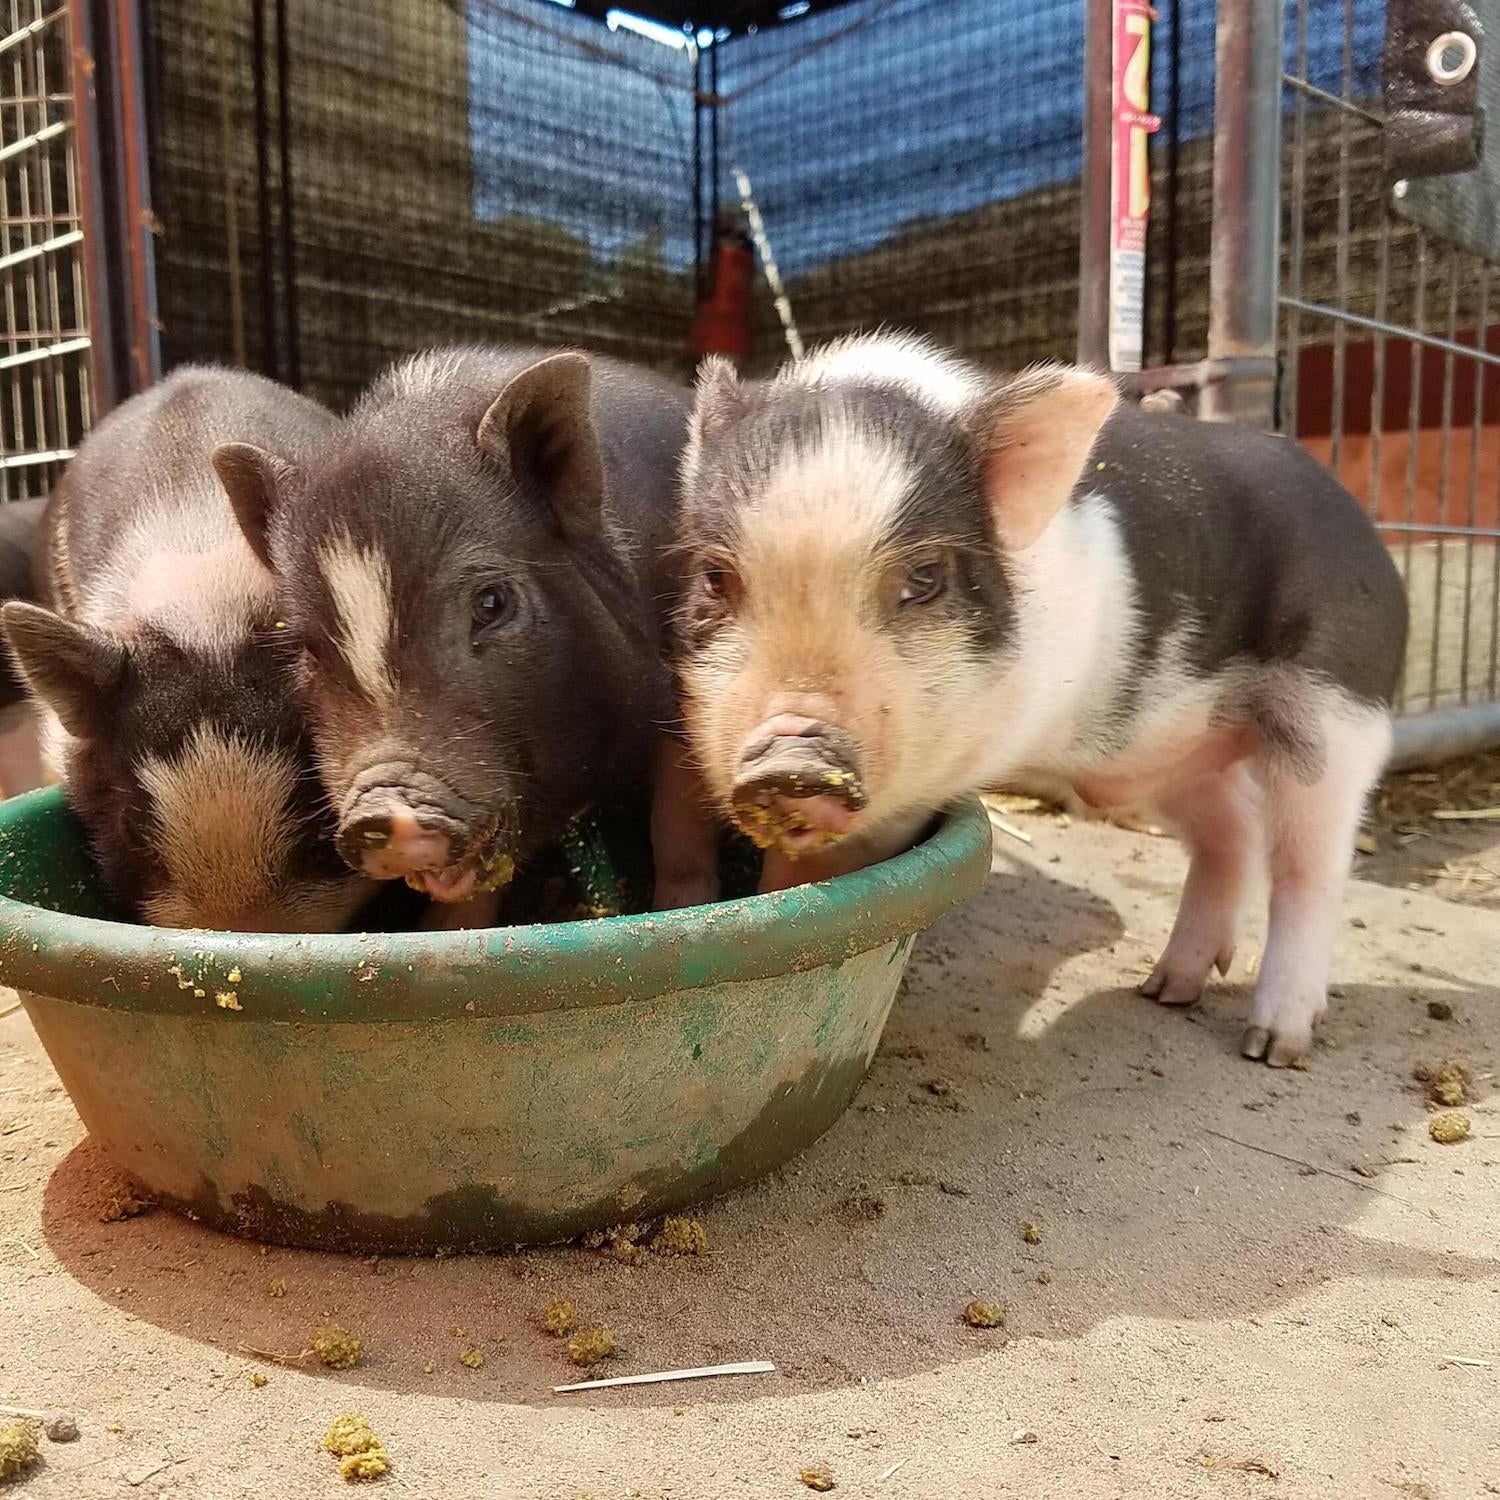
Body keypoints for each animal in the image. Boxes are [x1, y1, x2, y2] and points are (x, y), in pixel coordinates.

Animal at [673, 333, 1408, 1067]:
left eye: (924, 577)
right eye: (714, 576)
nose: (789, 760)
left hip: (1335, 712)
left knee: (1310, 868)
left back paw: (1272, 1045)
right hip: (1176, 747)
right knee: (1234, 831)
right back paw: (1167, 989)